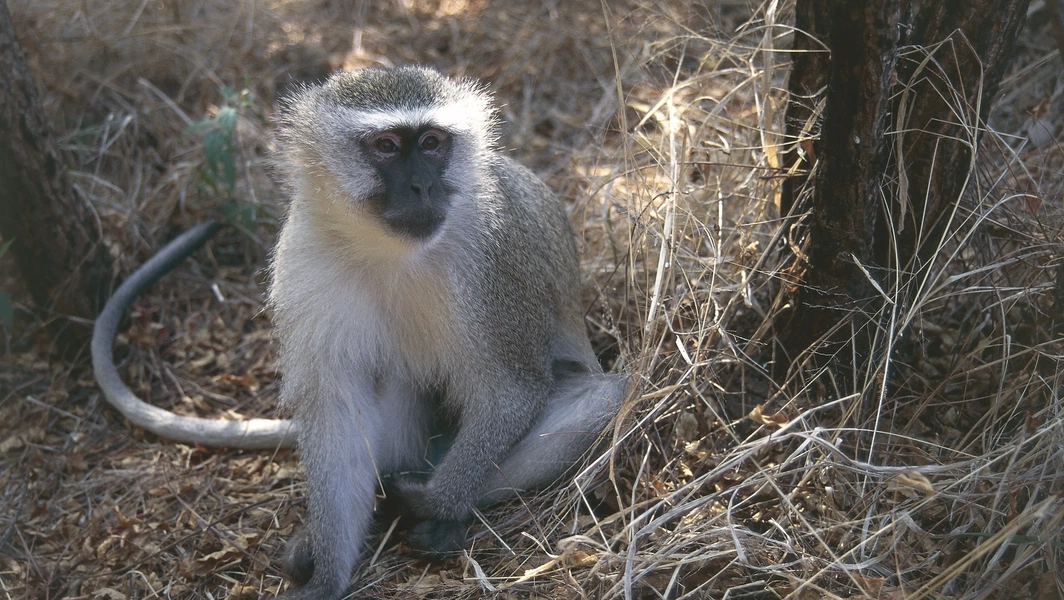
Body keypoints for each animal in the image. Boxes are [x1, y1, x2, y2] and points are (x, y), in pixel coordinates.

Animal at [269, 66, 626, 599]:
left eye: (433, 143)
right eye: (387, 146)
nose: (421, 186)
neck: (386, 249)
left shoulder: (491, 259)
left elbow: (511, 393)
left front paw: (432, 502)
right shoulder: (304, 254)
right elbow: (336, 412)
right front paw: (328, 576)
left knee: (603, 396)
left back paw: (429, 510)